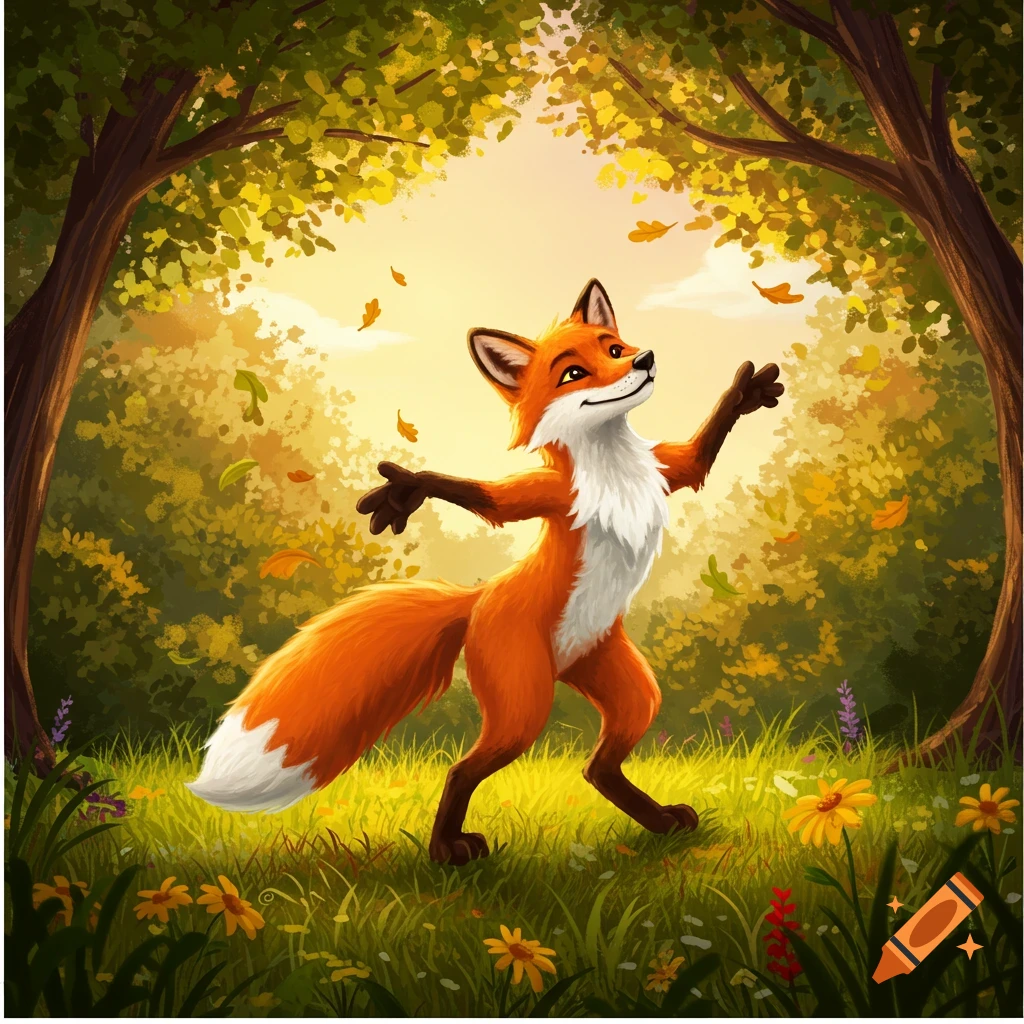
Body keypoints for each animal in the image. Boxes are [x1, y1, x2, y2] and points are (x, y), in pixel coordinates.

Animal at [187, 279, 784, 864]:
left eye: (614, 349)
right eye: (574, 372)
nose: (645, 359)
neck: (613, 467)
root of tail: (477, 599)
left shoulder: (664, 467)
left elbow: (695, 457)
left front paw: (747, 394)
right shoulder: (551, 494)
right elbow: (490, 499)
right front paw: (409, 488)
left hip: (624, 683)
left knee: (597, 768)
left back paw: (660, 823)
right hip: (522, 703)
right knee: (463, 770)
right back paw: (446, 850)